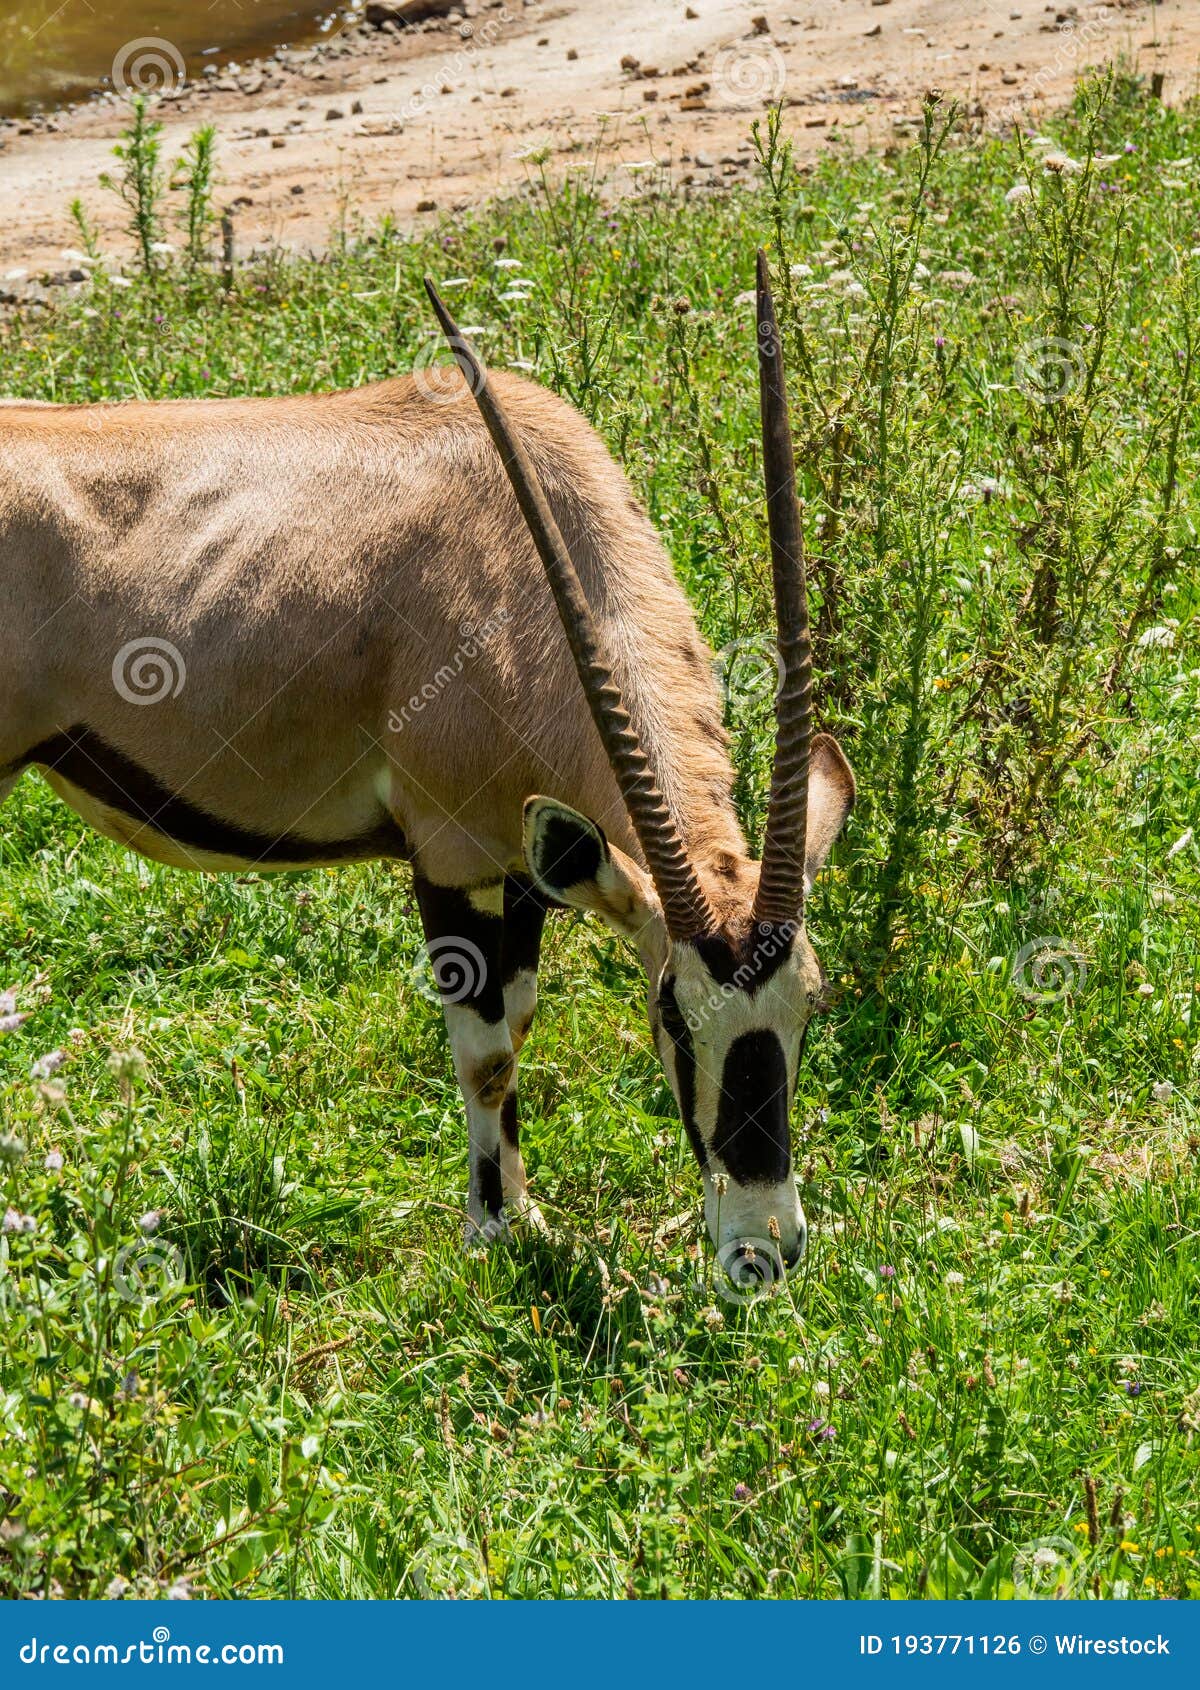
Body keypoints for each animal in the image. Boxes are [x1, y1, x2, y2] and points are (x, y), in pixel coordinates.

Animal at [0, 253, 853, 1287]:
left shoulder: (524, 862)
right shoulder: (452, 859)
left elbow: (519, 1023)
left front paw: (521, 1213)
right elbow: (486, 1051)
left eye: (810, 1001)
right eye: (674, 1016)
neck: (517, 569)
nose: (762, 1250)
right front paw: (495, 1229)